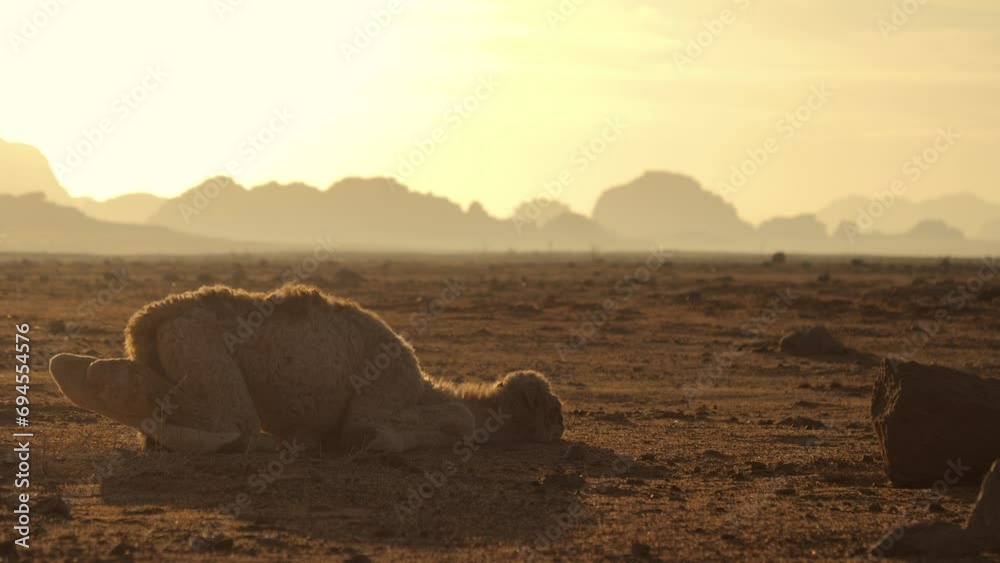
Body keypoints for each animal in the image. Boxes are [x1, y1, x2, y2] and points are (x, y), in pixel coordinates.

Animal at [48, 285, 564, 453]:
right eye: (548, 408)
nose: (562, 424)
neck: (429, 389)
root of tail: (149, 319)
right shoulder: (385, 395)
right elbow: (374, 430)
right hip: (199, 342)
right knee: (235, 425)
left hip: (179, 346)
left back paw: (78, 371)